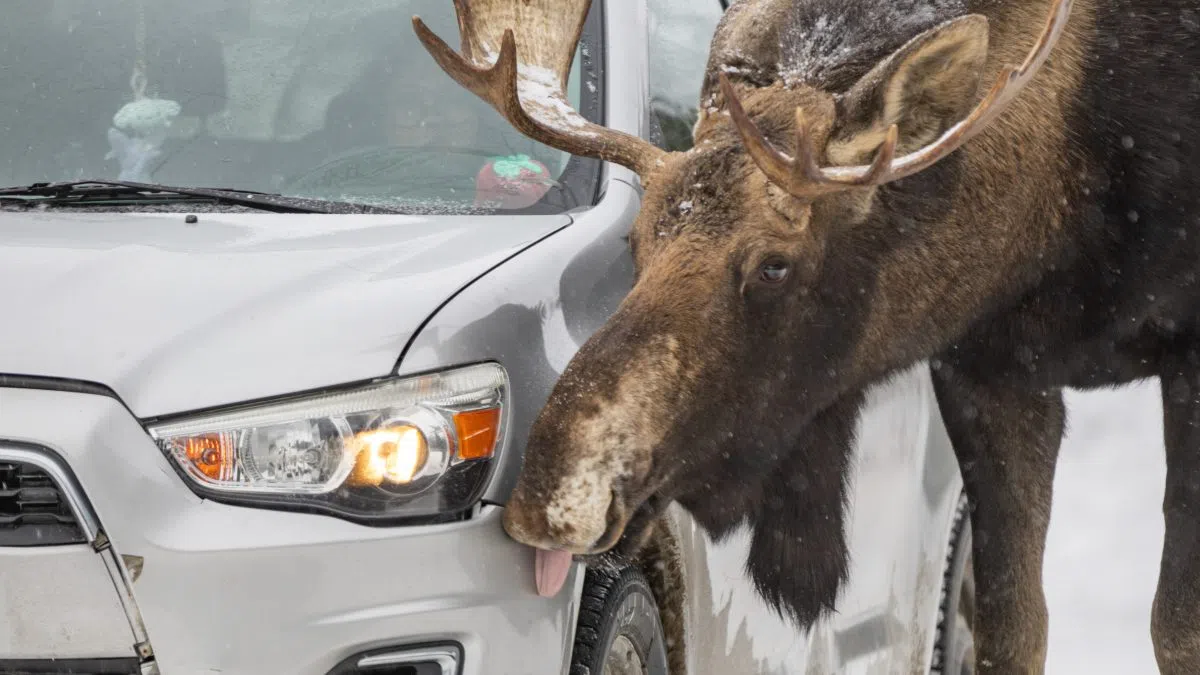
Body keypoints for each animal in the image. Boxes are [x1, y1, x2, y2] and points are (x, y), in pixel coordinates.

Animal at [412, 0, 1200, 672]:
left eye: (774, 264)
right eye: (637, 241)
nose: (550, 489)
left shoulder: (1186, 356)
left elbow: (1175, 624)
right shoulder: (993, 367)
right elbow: (1015, 625)